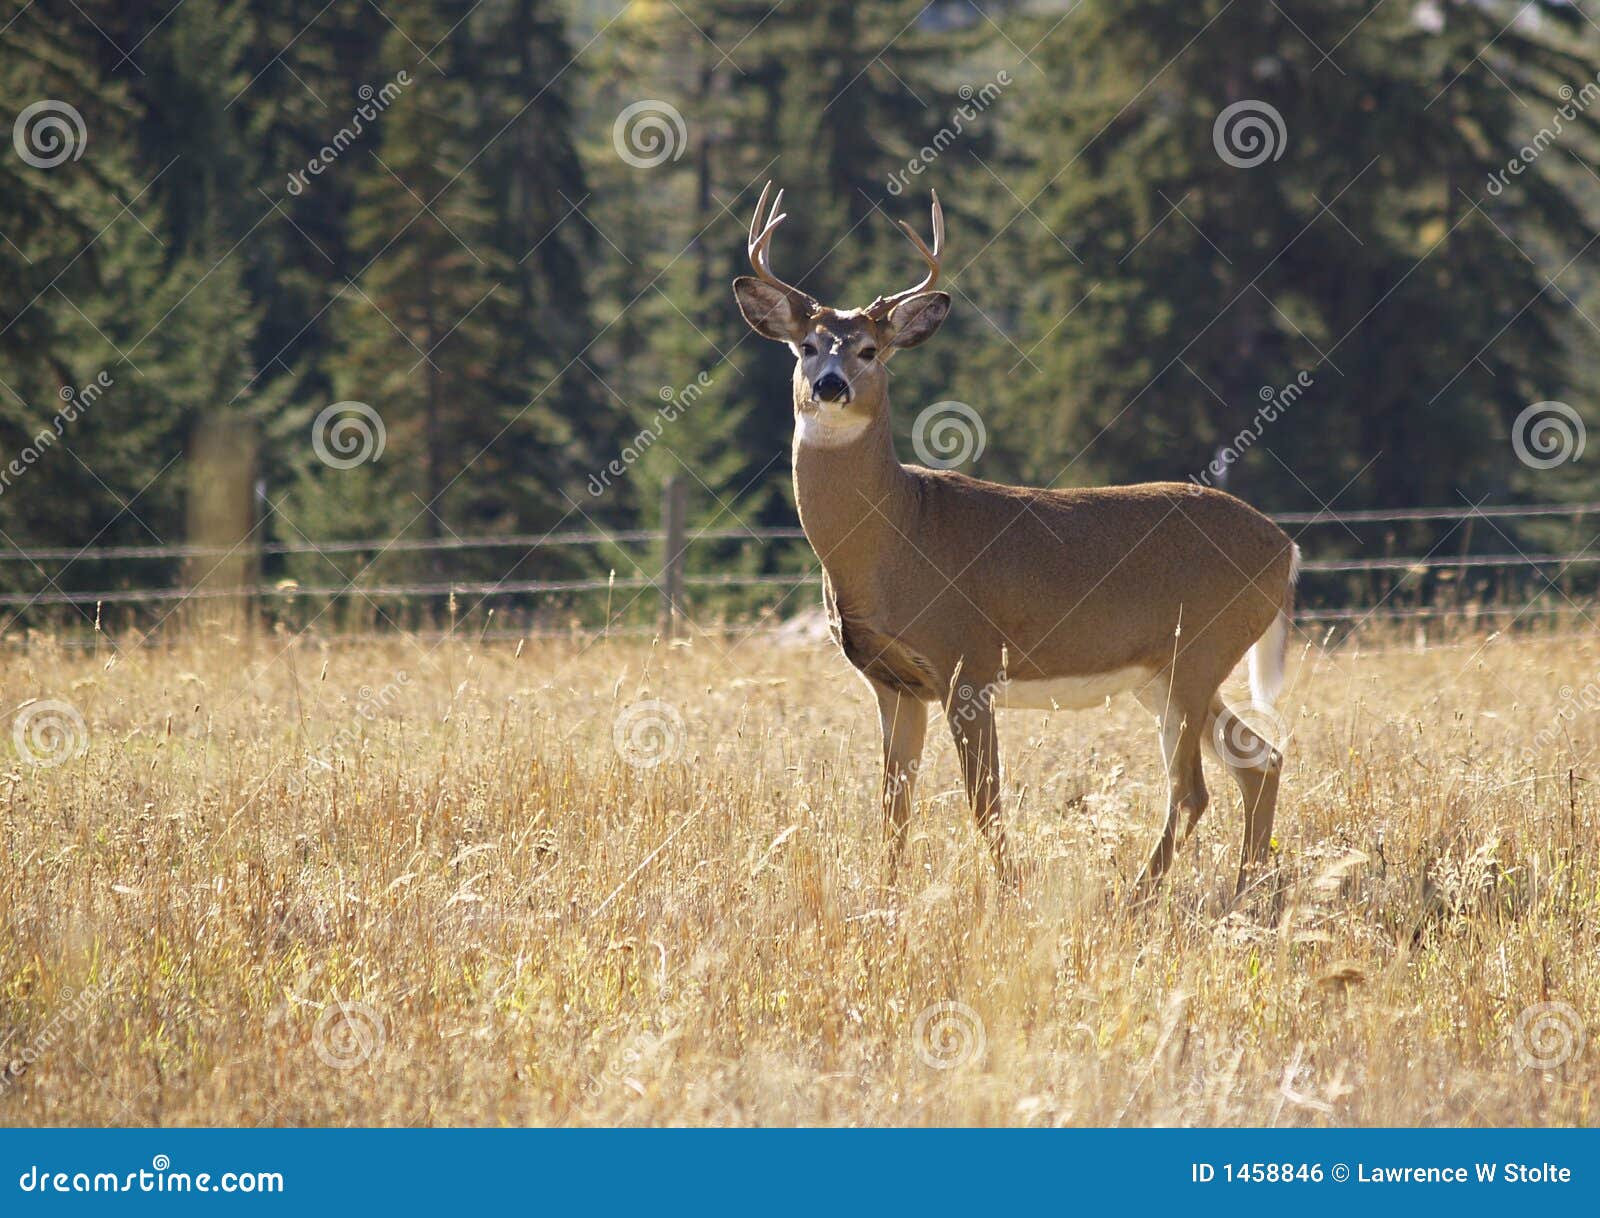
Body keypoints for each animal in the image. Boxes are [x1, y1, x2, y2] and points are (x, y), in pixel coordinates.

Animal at [736, 183, 1299, 902]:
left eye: (868, 350)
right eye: (806, 346)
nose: (829, 385)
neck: (896, 536)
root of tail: (1285, 547)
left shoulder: (967, 662)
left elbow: (985, 801)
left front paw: (1009, 891)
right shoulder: (893, 683)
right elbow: (893, 805)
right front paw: (884, 898)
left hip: (1197, 651)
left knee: (1194, 787)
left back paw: (1137, 897)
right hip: (1165, 670)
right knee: (1258, 758)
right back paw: (1250, 890)